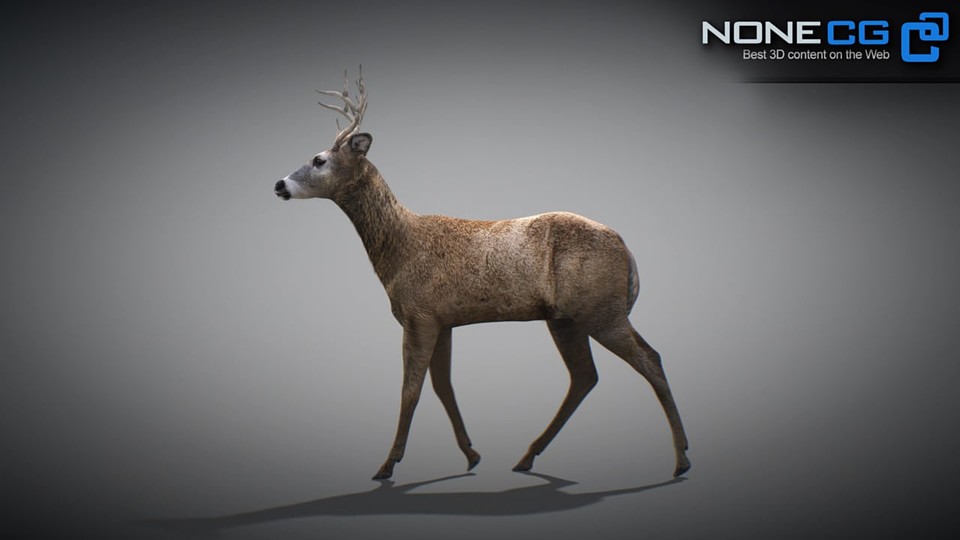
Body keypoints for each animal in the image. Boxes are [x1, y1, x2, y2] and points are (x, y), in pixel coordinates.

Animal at [273, 69, 690, 480]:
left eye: (319, 159)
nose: (279, 184)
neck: (398, 251)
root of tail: (627, 249)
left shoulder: (419, 314)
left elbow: (411, 390)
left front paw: (387, 465)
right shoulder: (442, 320)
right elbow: (443, 386)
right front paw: (471, 454)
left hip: (599, 308)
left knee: (649, 358)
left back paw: (681, 459)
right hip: (567, 317)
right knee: (585, 376)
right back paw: (527, 456)